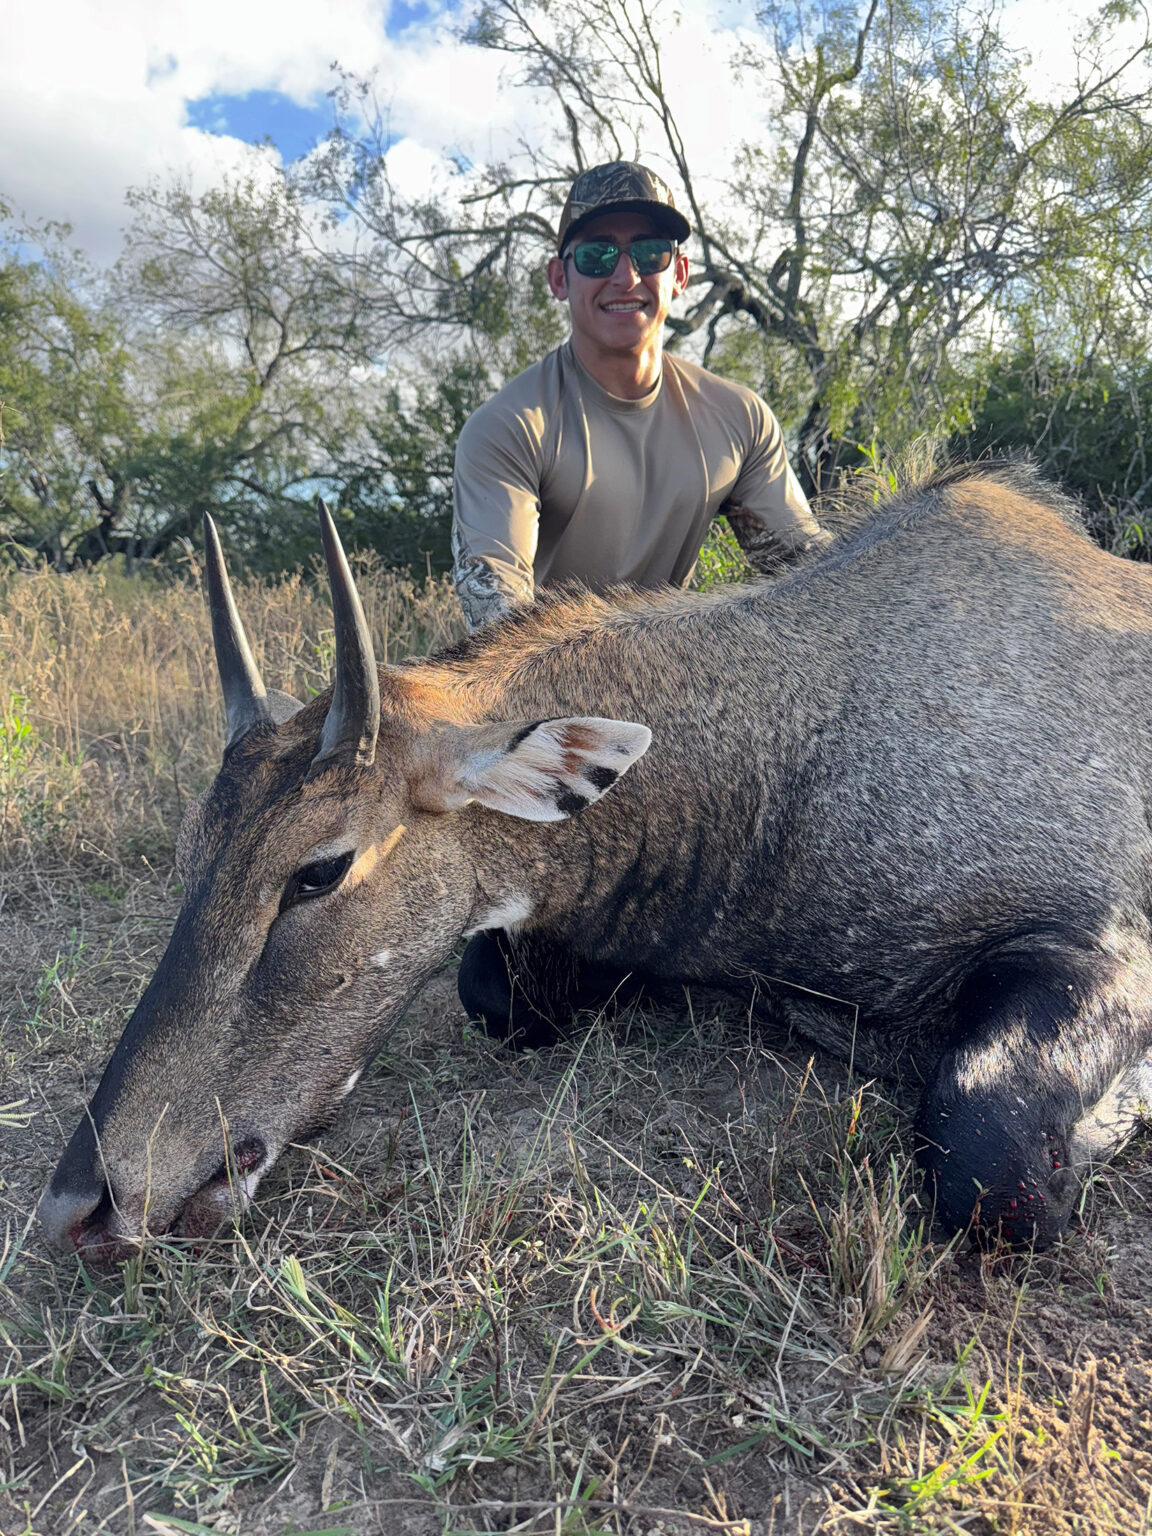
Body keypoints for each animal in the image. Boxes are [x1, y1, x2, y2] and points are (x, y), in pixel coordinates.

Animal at [39, 465, 1152, 1260]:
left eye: (318, 870)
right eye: (195, 849)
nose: (80, 1206)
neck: (785, 762)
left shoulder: (1102, 940)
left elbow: (987, 1152)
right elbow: (498, 990)